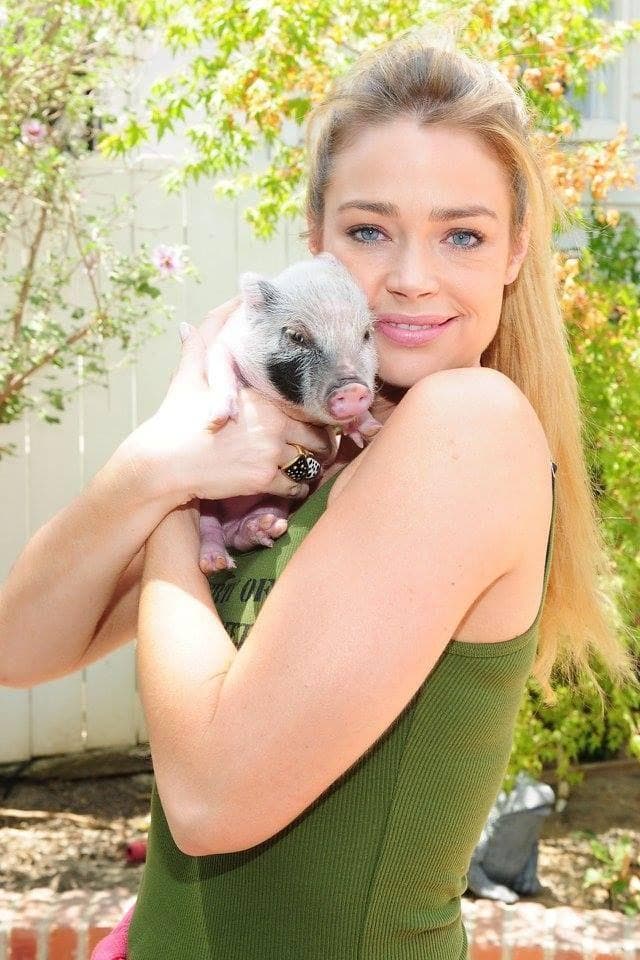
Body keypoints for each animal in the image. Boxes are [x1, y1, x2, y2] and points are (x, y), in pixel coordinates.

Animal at [200, 252, 381, 574]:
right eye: (297, 336)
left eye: (366, 334)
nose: (352, 389)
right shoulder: (224, 343)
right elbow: (221, 368)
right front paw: (218, 420)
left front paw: (372, 431)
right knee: (208, 526)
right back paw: (216, 562)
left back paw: (262, 529)